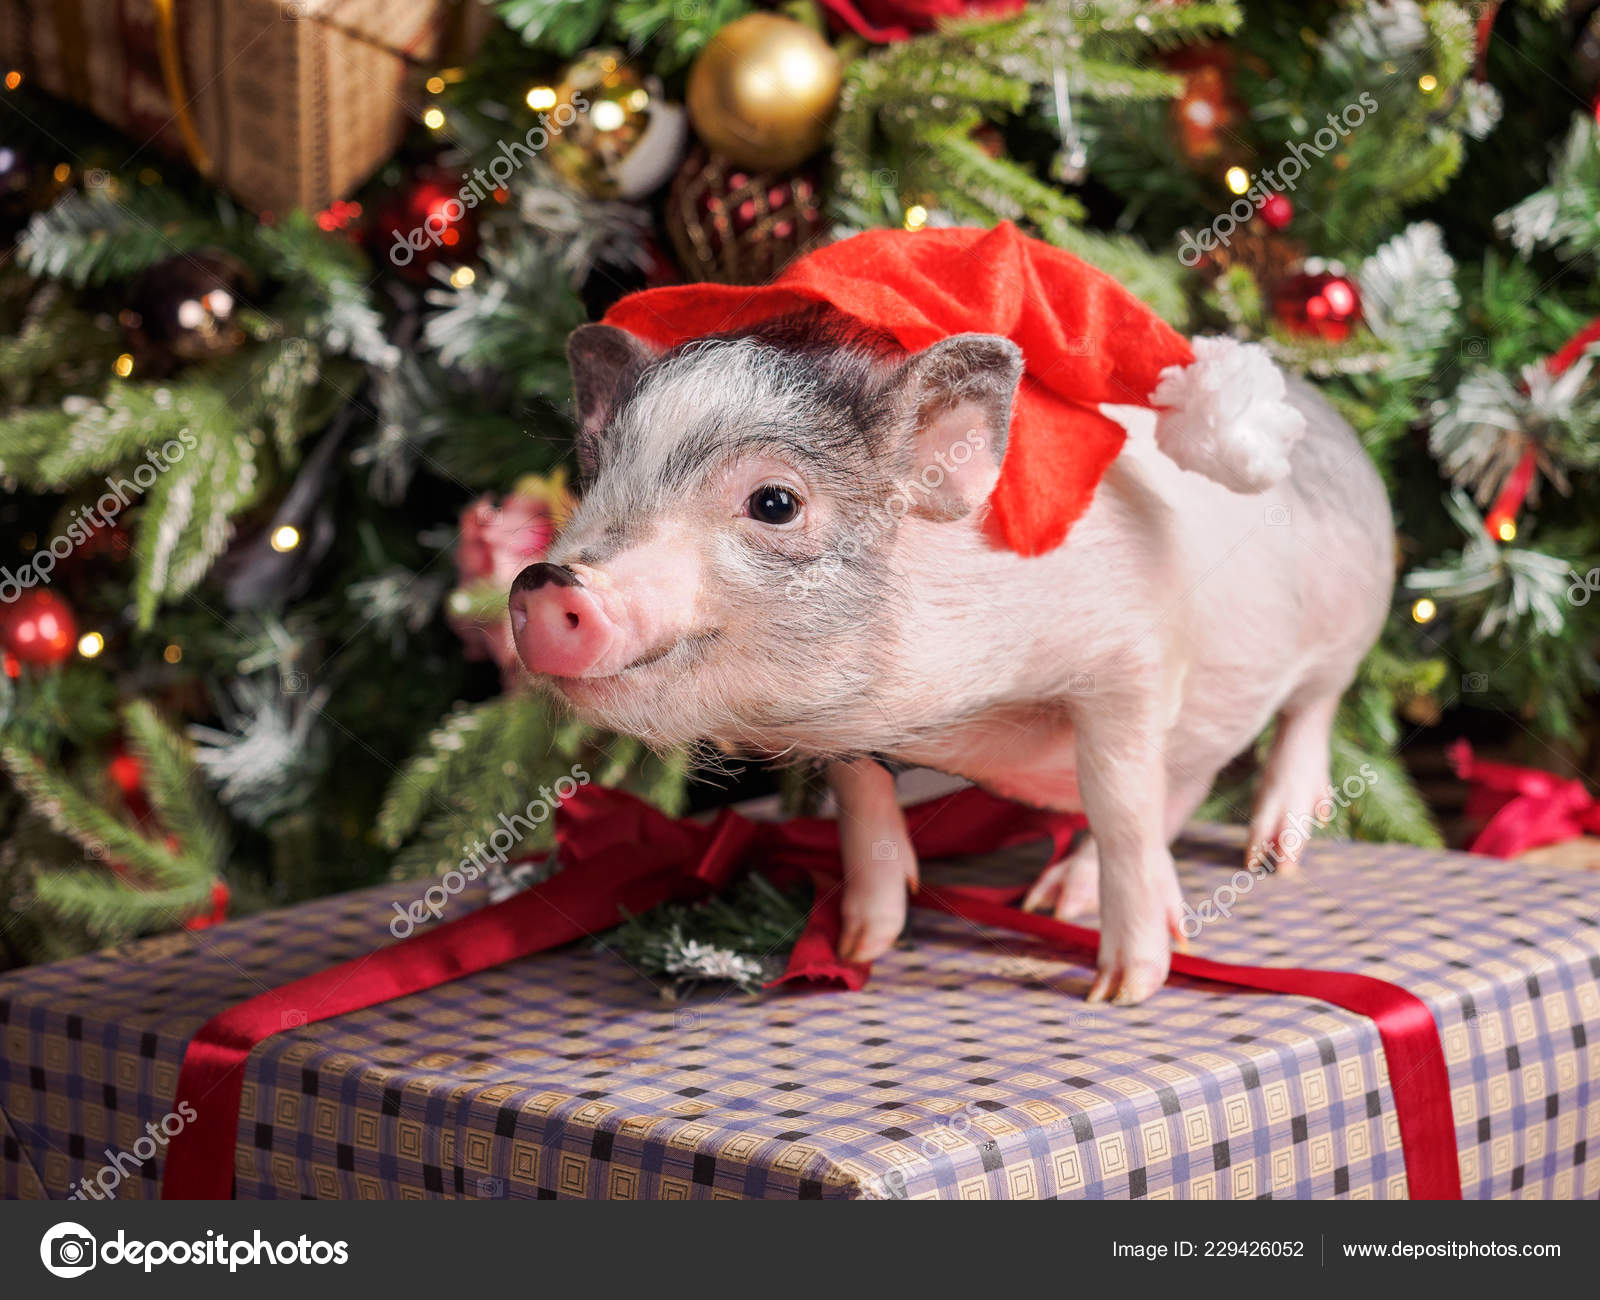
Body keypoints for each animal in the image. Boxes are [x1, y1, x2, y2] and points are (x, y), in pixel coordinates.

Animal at [510, 312, 1393, 1004]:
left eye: (775, 502)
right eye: (596, 475)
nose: (545, 581)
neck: (967, 714)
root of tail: (1319, 408)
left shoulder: (1130, 661)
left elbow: (1119, 804)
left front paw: (1123, 990)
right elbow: (858, 794)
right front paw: (864, 943)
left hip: (1354, 621)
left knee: (1307, 713)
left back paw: (1267, 854)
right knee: (1192, 776)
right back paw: (1056, 900)